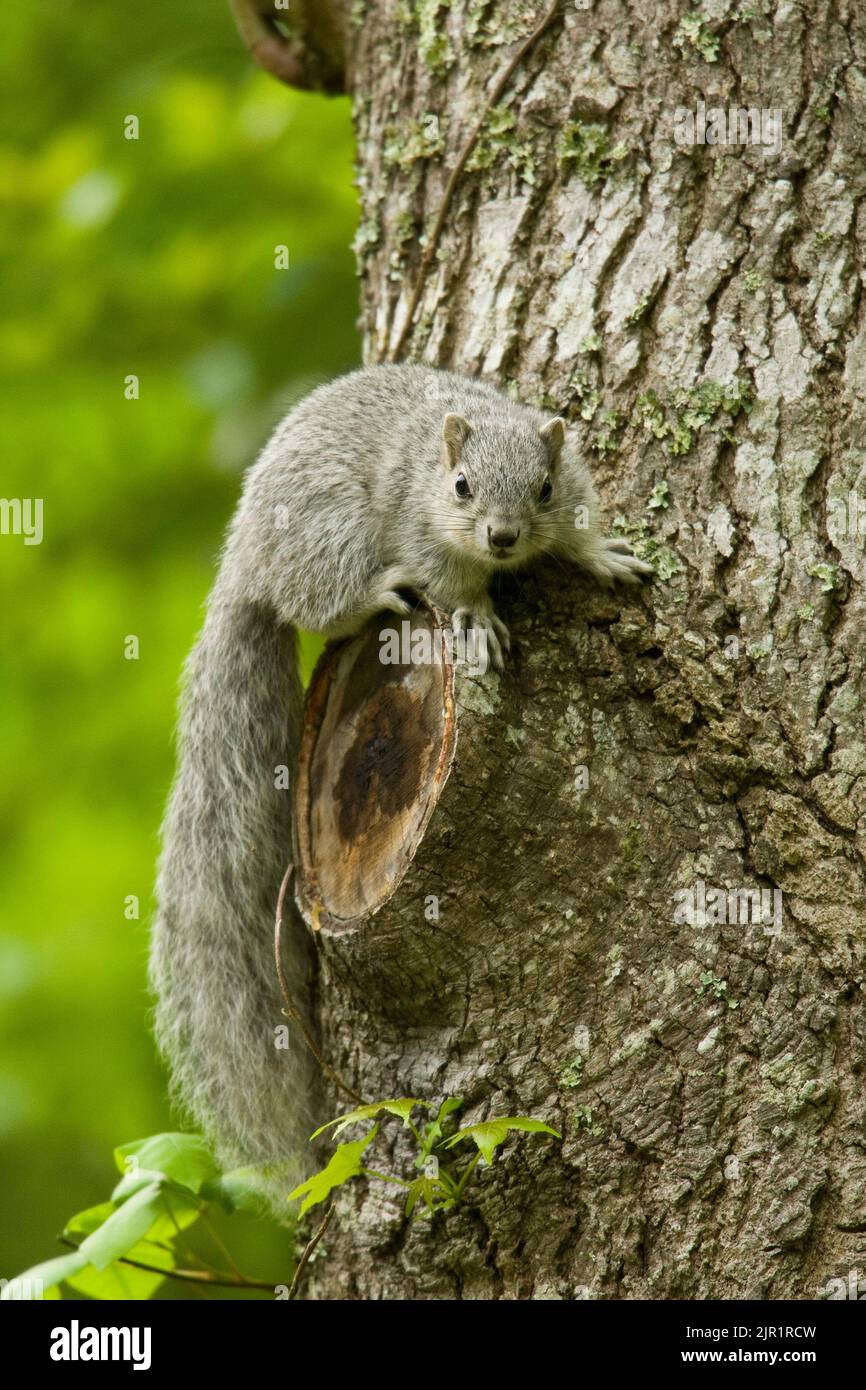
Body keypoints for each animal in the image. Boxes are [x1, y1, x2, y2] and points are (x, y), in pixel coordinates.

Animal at [150, 364, 652, 1207]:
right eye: (459, 485)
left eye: (544, 487)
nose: (502, 537)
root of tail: (245, 562)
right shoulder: (425, 533)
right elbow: (452, 582)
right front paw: (477, 617)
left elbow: (582, 533)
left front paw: (603, 557)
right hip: (330, 540)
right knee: (321, 602)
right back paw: (378, 593)